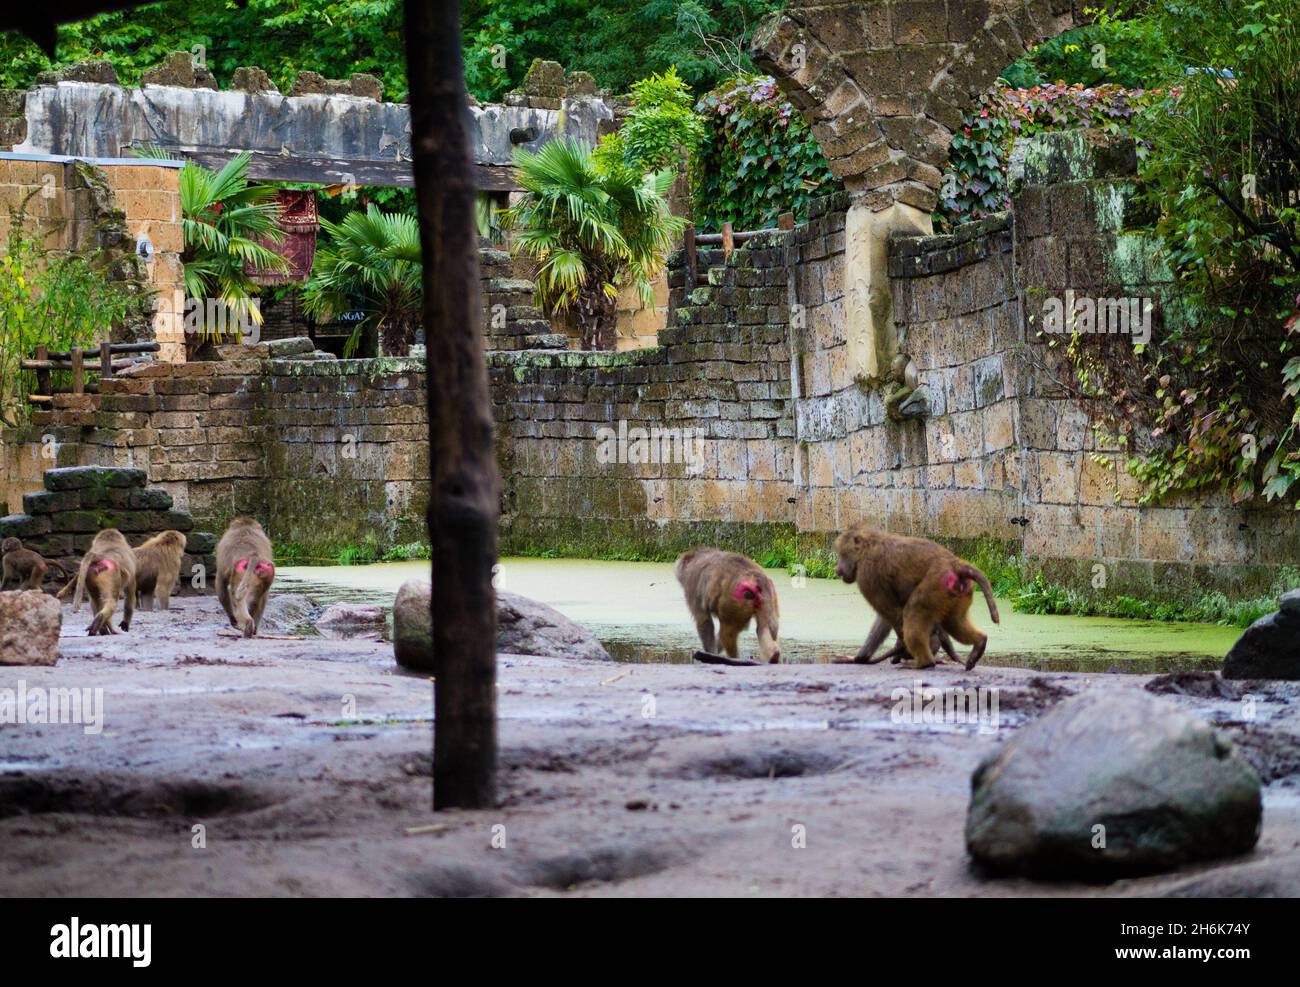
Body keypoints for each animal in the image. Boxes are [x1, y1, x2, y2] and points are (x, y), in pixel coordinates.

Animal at [833, 523, 999, 670]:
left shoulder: (867, 574)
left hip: (935, 583)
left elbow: (891, 613)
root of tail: (955, 564)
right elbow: (885, 618)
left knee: (913, 610)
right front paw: (860, 658)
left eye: (841, 554)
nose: (837, 570)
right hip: (958, 591)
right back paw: (979, 642)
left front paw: (901, 650)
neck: (868, 546)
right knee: (953, 621)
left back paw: (924, 663)